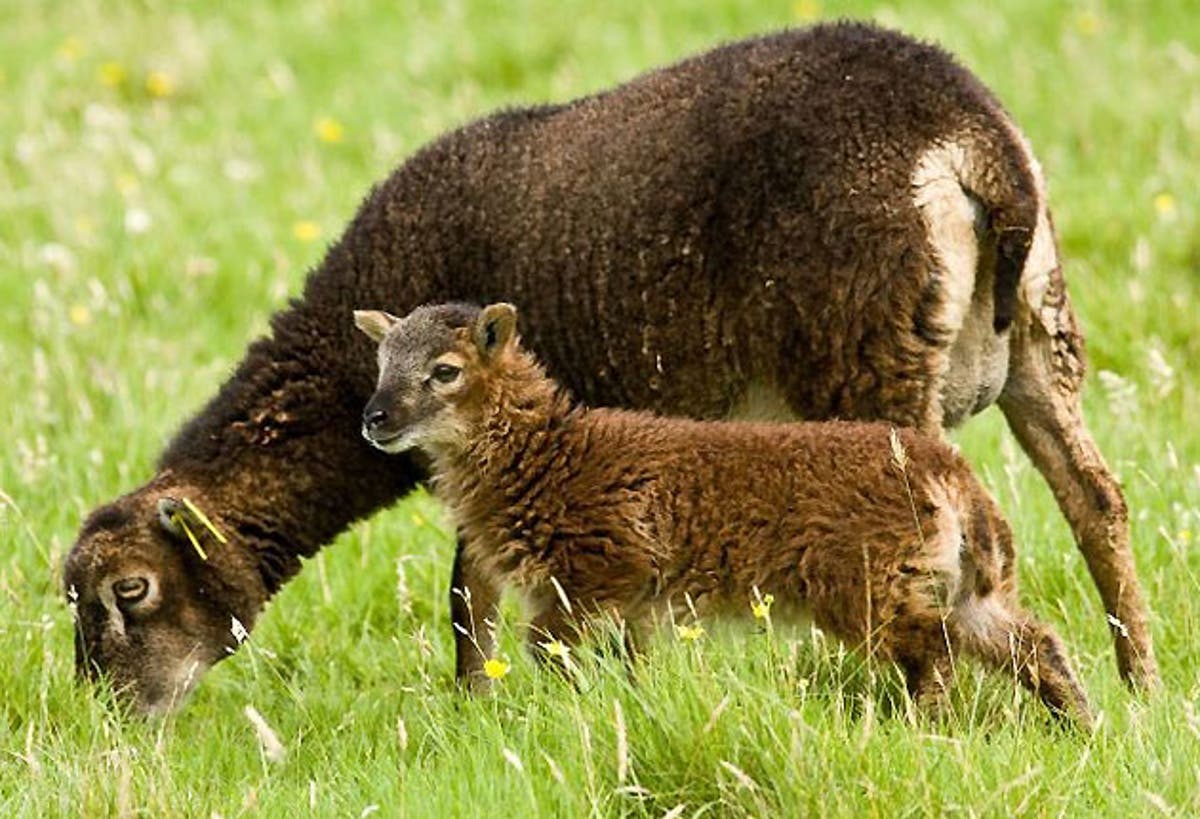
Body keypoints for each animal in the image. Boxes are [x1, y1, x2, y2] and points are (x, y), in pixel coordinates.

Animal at [353, 301, 1094, 727]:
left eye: (445, 370)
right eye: (381, 362)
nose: (374, 418)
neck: (547, 453)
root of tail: (954, 476)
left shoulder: (598, 572)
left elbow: (549, 653)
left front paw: (573, 709)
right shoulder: (633, 604)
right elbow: (631, 666)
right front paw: (626, 709)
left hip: (871, 585)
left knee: (933, 655)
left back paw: (922, 730)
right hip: (957, 585)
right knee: (1032, 643)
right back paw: (1081, 725)